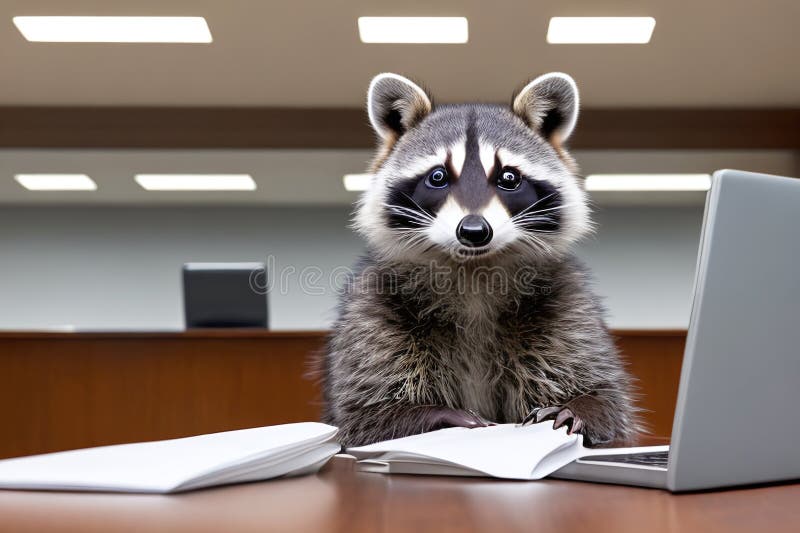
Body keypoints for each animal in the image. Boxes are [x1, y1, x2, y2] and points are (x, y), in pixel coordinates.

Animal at [318, 72, 640, 448]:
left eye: (509, 178)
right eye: (438, 176)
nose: (473, 231)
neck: (474, 271)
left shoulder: (566, 305)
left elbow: (608, 400)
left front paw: (579, 407)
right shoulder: (375, 308)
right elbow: (362, 416)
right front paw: (436, 415)